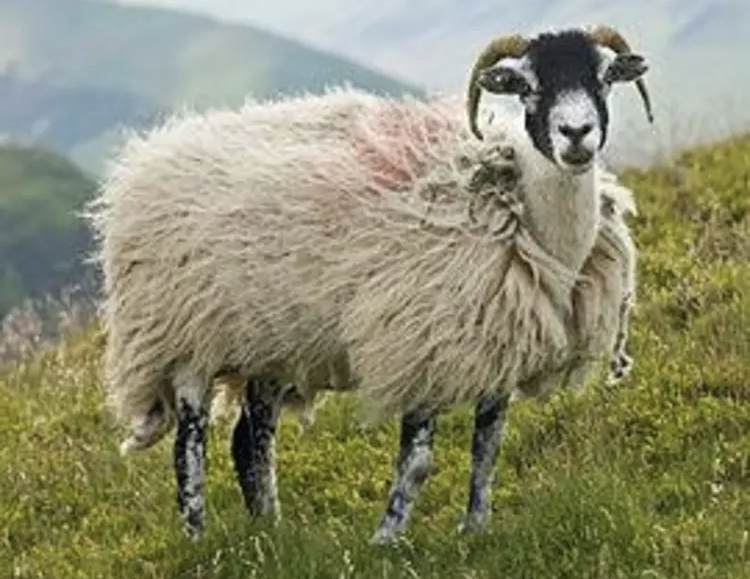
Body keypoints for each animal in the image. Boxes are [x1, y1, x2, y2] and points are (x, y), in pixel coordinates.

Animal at [83, 23, 652, 543]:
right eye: (528, 85)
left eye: (604, 78)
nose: (576, 133)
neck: (523, 213)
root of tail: (146, 159)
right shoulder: (424, 344)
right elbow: (417, 461)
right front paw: (387, 539)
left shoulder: (496, 349)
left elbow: (487, 451)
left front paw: (474, 530)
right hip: (181, 339)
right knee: (190, 445)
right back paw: (197, 536)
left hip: (271, 344)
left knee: (252, 439)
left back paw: (272, 532)